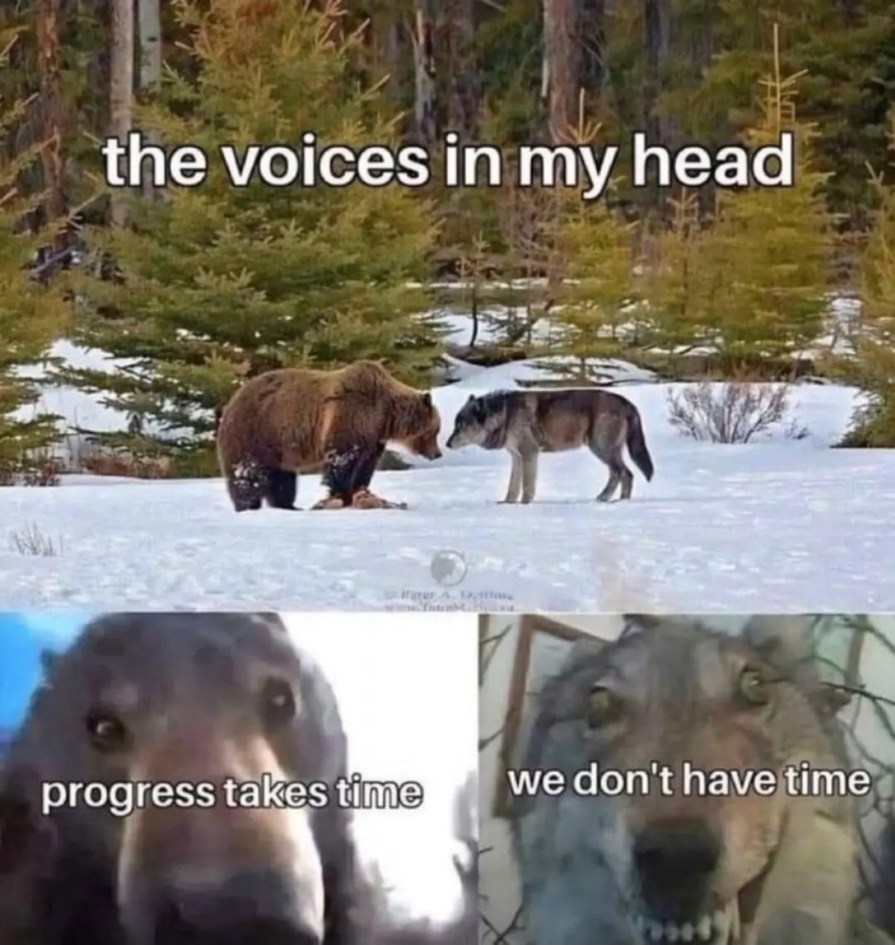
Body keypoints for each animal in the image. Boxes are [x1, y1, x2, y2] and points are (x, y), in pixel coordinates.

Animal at [445, 388, 654, 504]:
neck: (506, 416)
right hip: (606, 451)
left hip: (601, 449)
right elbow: (513, 486)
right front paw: (507, 503)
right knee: (625, 474)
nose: (446, 443)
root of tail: (628, 403)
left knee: (623, 473)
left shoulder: (529, 453)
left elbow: (527, 485)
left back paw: (608, 499)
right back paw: (617, 500)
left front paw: (524, 504)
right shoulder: (517, 457)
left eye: (460, 426)